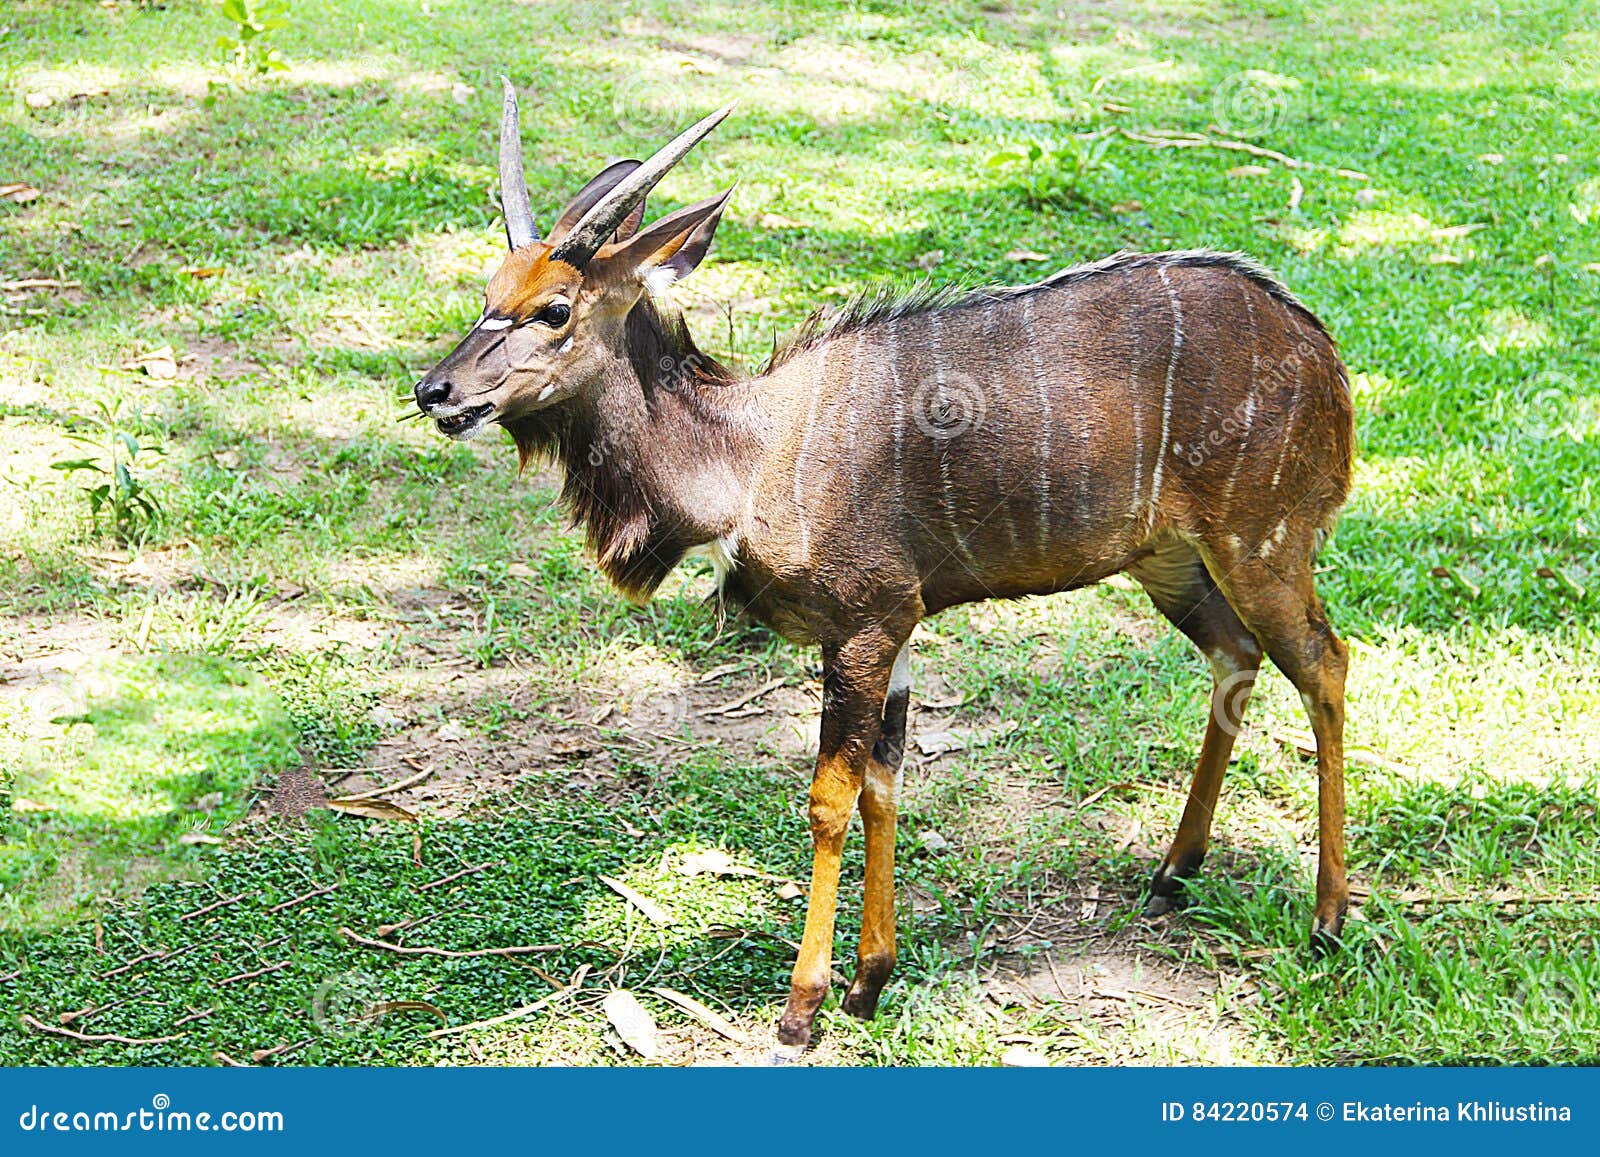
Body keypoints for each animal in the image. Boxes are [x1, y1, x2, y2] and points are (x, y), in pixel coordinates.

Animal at [415, 84, 1355, 1061]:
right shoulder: (896, 625)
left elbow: (831, 796)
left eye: (554, 309)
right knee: (1235, 658)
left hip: (1262, 543)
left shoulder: (865, 622)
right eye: (489, 294)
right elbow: (882, 784)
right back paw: (1174, 868)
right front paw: (870, 980)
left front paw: (803, 1006)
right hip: (1171, 560)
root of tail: (1323, 355)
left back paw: (1327, 918)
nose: (435, 390)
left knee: (1324, 663)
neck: (750, 455)